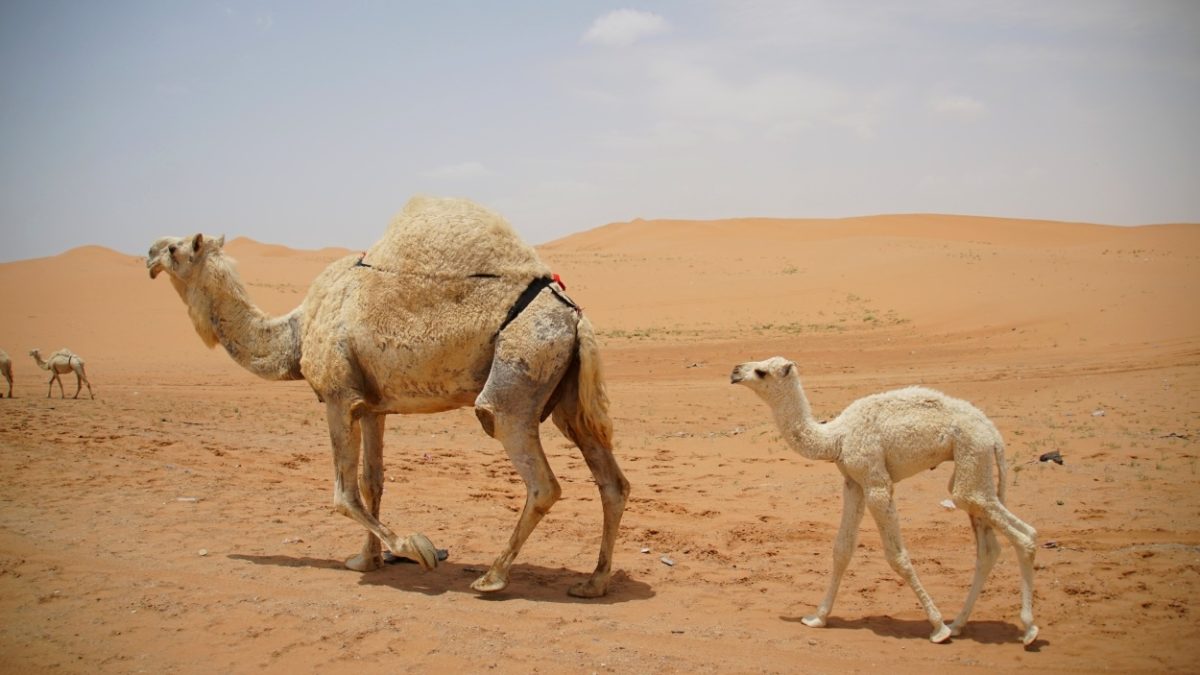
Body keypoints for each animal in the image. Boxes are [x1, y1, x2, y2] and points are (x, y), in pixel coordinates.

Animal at [147, 196, 630, 597]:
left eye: (176, 249)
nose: (149, 253)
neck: (296, 333)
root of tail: (575, 316)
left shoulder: (338, 396)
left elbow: (343, 493)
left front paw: (418, 548)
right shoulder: (372, 406)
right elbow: (371, 482)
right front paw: (367, 560)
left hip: (516, 383)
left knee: (540, 480)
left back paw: (492, 578)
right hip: (566, 397)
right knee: (612, 482)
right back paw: (593, 583)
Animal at [732, 356, 1037, 645]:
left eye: (761, 372)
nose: (735, 371)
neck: (836, 437)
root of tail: (994, 433)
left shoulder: (876, 482)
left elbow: (896, 556)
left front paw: (938, 627)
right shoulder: (853, 482)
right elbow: (842, 550)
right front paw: (817, 617)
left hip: (972, 459)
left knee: (1020, 534)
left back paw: (1027, 630)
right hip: (975, 468)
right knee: (994, 546)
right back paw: (961, 623)